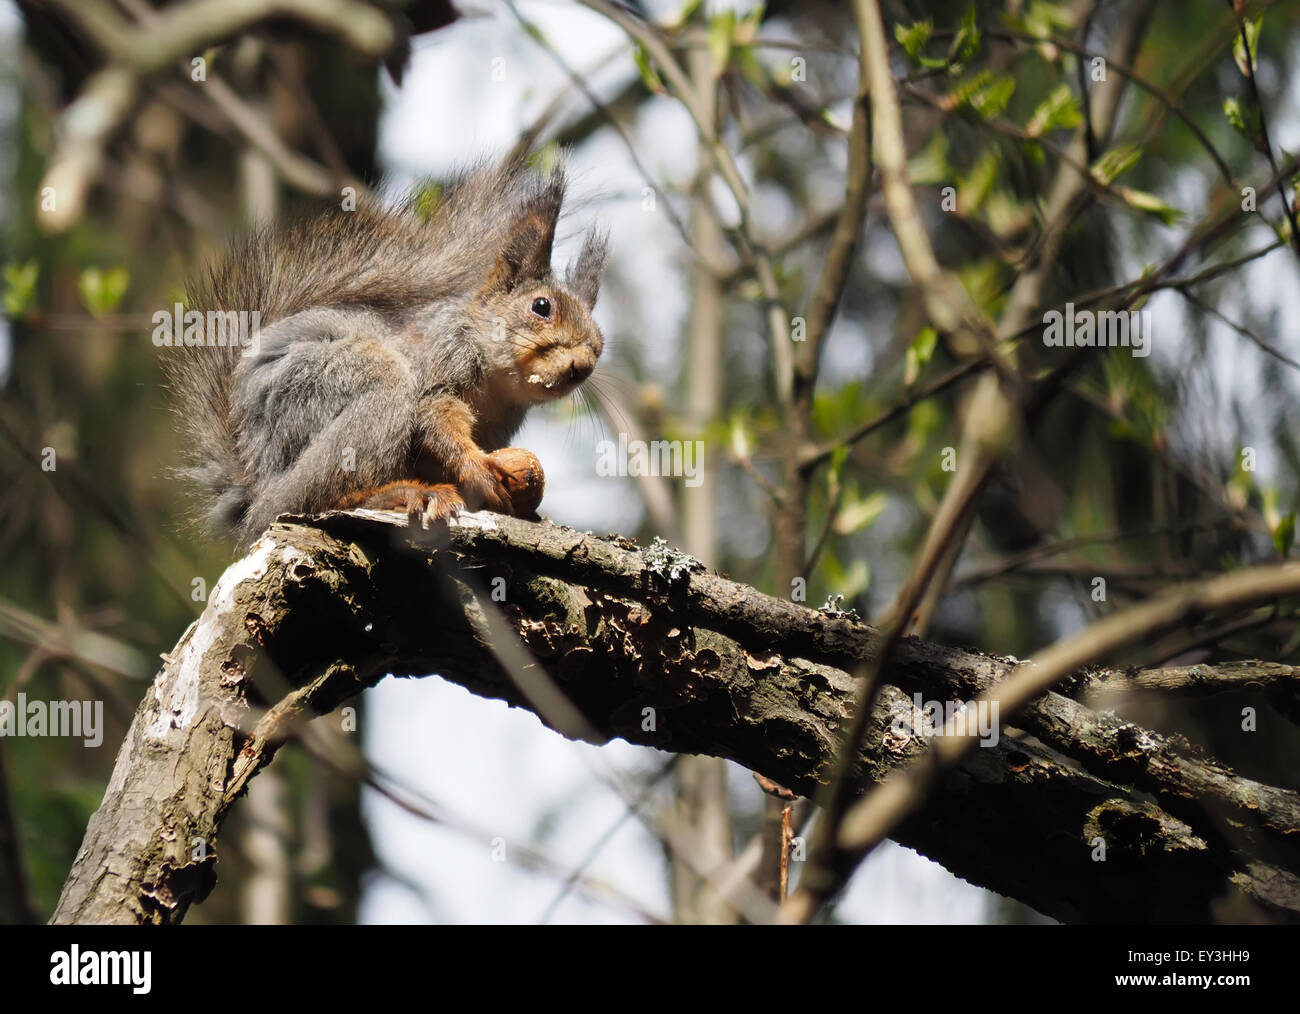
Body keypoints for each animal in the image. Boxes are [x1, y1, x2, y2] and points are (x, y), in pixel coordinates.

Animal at [165, 157, 607, 547]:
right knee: (301, 500)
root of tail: (256, 478)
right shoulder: (442, 356)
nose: (583, 366)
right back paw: (397, 494)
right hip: (332, 388)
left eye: (600, 344)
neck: (500, 384)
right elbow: (435, 416)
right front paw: (476, 466)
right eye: (541, 306)